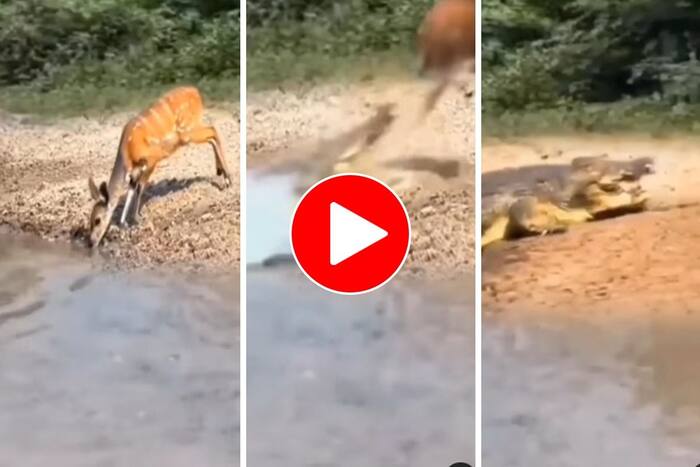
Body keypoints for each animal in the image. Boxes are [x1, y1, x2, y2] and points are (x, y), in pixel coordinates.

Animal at [87, 86, 232, 249]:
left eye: (97, 220)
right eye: (90, 220)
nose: (91, 242)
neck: (127, 154)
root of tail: (196, 92)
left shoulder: (152, 159)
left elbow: (140, 187)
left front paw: (135, 218)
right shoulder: (136, 171)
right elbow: (131, 189)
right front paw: (124, 223)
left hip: (186, 131)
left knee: (212, 130)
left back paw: (228, 179)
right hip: (190, 131)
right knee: (211, 134)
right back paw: (220, 172)